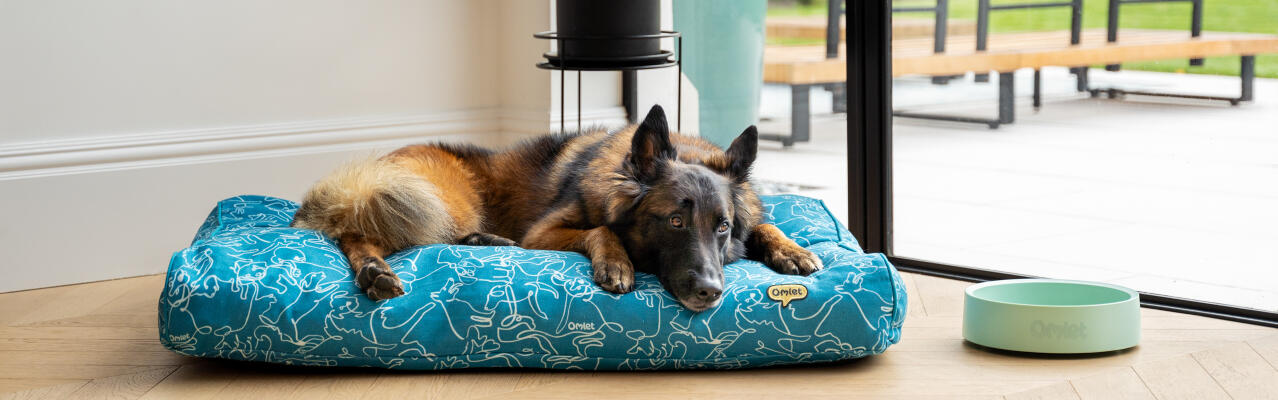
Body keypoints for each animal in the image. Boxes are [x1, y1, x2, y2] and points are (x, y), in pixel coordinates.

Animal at [292, 104, 817, 310]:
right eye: (674, 221)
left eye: (723, 227)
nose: (710, 292)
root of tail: (373, 167)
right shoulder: (542, 235)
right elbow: (601, 230)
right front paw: (616, 263)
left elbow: (764, 228)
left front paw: (792, 249)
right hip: (431, 201)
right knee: (356, 231)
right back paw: (374, 271)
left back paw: (486, 240)